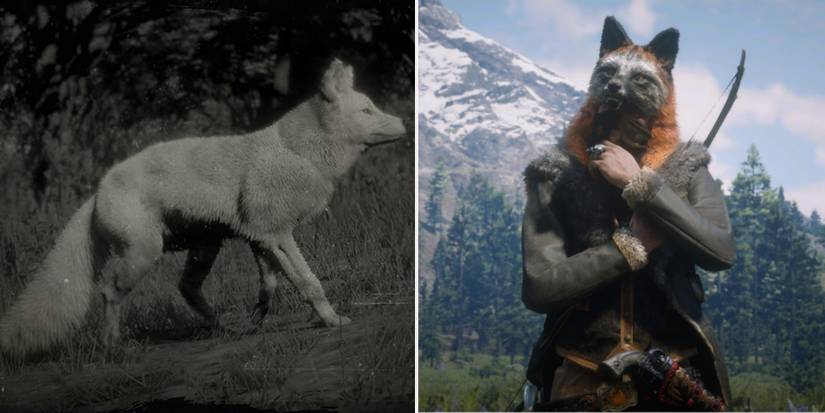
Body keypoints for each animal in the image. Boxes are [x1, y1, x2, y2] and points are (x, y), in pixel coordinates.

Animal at [0, 58, 406, 357]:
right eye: (367, 111)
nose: (404, 122)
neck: (299, 153)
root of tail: (97, 192)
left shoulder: (259, 238)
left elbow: (271, 283)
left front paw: (258, 317)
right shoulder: (277, 234)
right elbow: (309, 282)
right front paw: (331, 320)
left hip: (204, 248)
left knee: (186, 288)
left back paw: (220, 326)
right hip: (145, 255)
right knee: (110, 292)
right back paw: (115, 346)